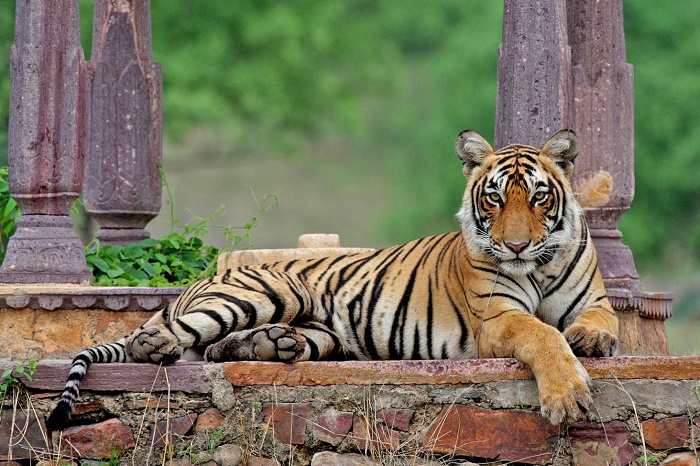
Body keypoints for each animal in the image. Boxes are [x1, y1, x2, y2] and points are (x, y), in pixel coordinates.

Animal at [47, 128, 618, 430]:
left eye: (539, 197)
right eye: (495, 198)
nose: (516, 245)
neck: (538, 266)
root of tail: (205, 277)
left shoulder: (592, 299)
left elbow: (599, 322)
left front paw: (591, 341)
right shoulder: (498, 318)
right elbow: (542, 335)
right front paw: (568, 397)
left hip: (321, 332)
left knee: (216, 349)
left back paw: (271, 345)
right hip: (264, 291)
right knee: (160, 339)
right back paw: (163, 342)